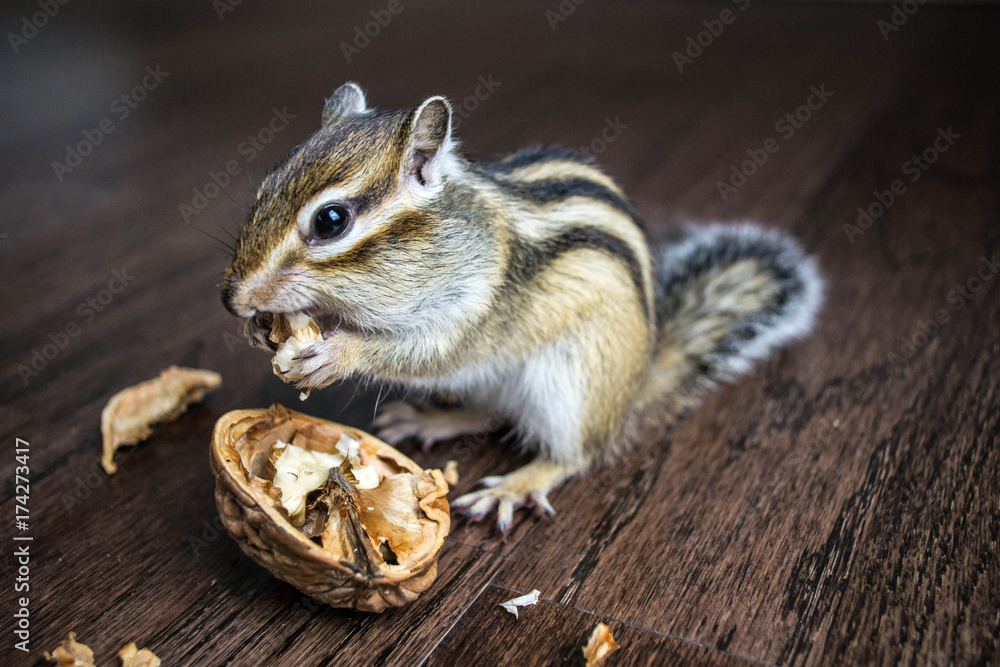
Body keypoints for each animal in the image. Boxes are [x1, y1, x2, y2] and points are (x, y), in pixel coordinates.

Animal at [221, 82, 824, 534]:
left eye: (331, 221)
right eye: (265, 185)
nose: (233, 299)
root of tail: (633, 390)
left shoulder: (475, 309)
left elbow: (423, 352)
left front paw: (336, 353)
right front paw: (260, 329)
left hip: (571, 387)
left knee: (572, 454)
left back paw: (516, 485)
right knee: (492, 413)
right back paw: (435, 419)